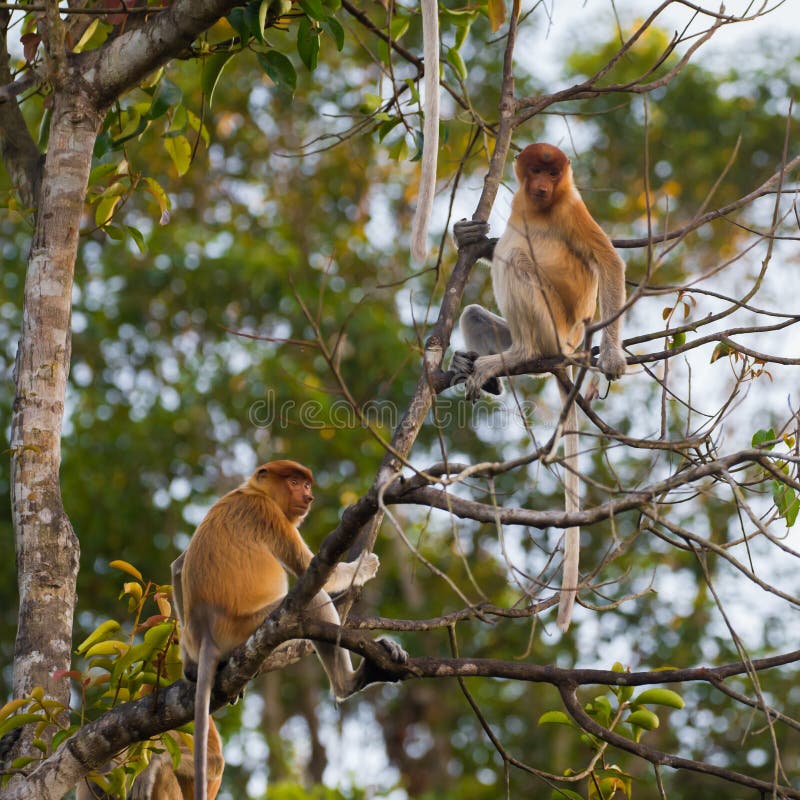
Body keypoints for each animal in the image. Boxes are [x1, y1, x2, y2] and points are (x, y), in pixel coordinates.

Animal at [171, 460, 407, 800]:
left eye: (306, 484)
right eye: (294, 482)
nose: (307, 496)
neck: (253, 491)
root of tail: (206, 636)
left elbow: (177, 566)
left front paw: (189, 669)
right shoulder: (270, 515)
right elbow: (316, 569)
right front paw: (364, 565)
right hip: (252, 625)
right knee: (314, 598)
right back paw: (350, 682)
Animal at [452, 143, 628, 632]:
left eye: (553, 173)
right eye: (536, 171)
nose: (544, 186)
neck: (540, 206)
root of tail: (565, 349)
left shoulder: (570, 209)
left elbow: (609, 262)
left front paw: (612, 357)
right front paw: (468, 237)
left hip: (552, 329)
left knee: (519, 262)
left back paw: (515, 356)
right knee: (474, 310)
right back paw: (479, 368)